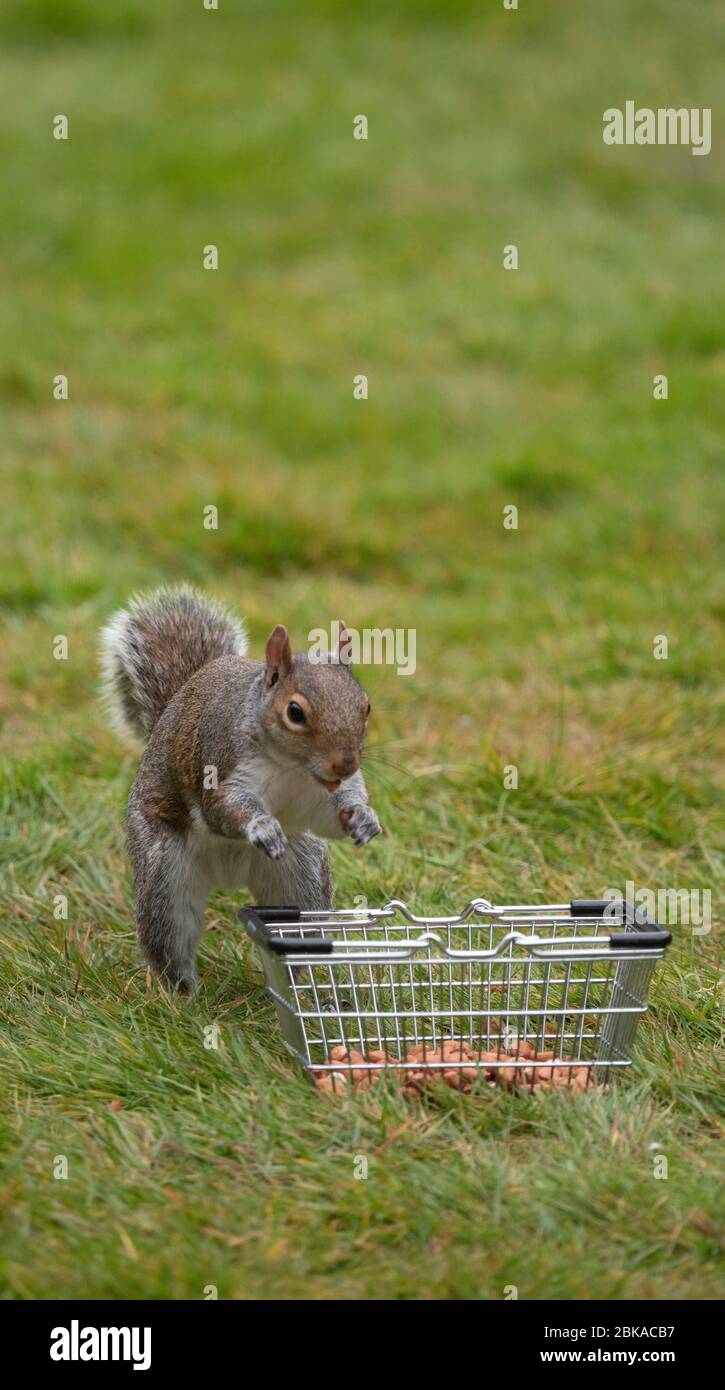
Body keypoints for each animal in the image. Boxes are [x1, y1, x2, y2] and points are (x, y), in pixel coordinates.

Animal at [100, 586, 382, 993]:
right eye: (295, 712)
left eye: (367, 706)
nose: (346, 765)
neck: (291, 767)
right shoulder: (220, 765)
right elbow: (221, 809)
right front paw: (261, 826)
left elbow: (333, 814)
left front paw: (363, 818)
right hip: (162, 870)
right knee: (169, 933)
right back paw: (182, 995)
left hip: (300, 876)